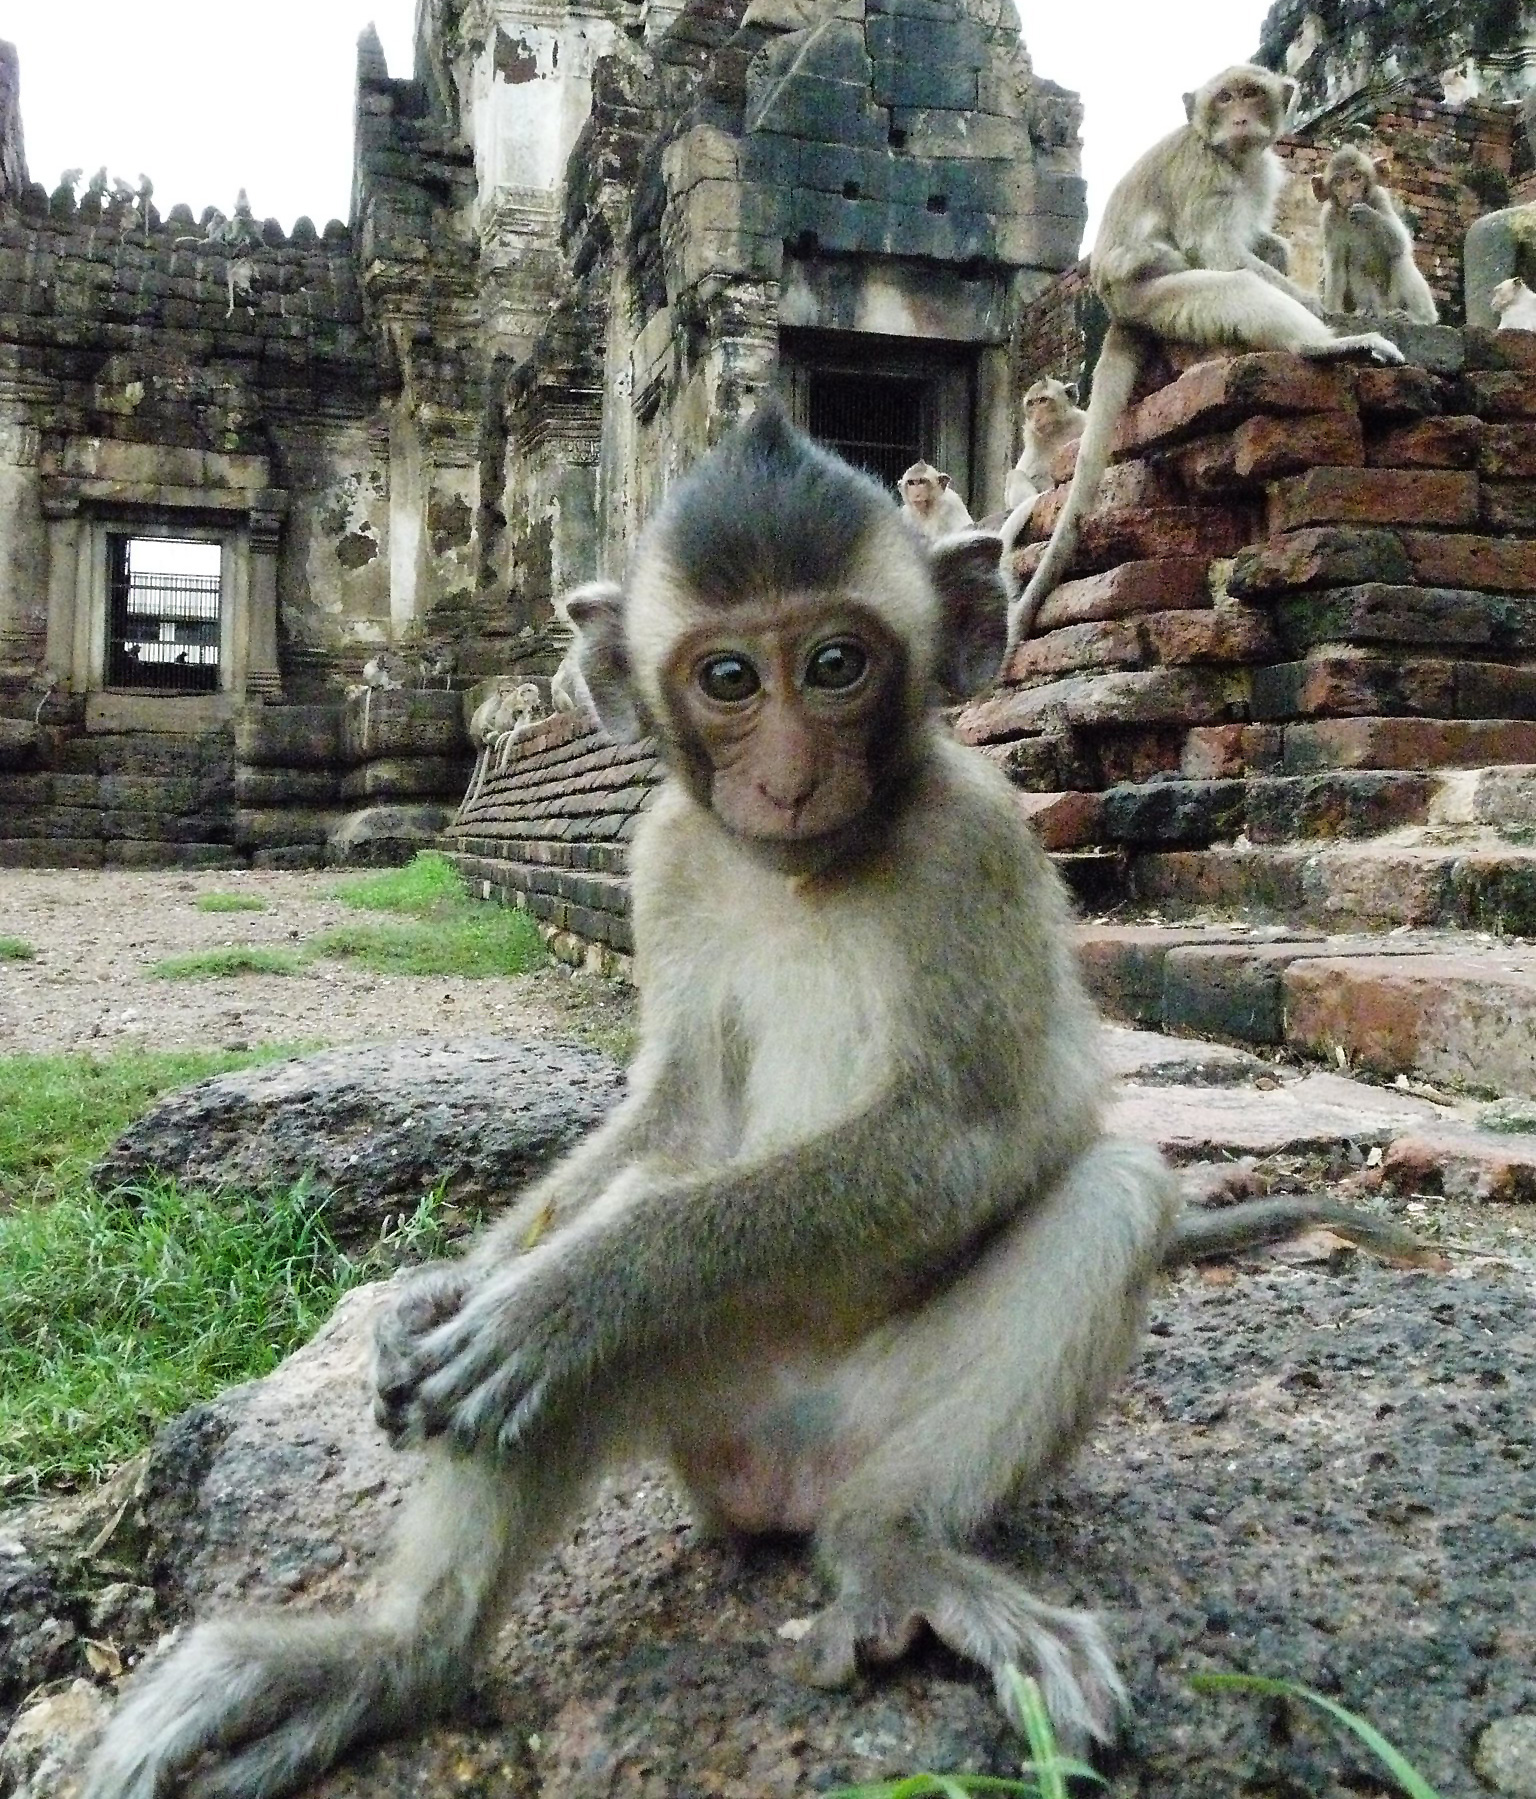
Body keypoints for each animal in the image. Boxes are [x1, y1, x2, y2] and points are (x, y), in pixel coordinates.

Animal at [79, 402, 1424, 1799]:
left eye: (835, 664)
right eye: (729, 680)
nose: (783, 772)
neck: (804, 870)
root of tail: (778, 1476)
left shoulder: (975, 843)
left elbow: (966, 1136)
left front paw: (573, 1285)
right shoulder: (667, 852)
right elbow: (672, 1112)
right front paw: (444, 1294)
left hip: (876, 1422)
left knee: (1111, 1192)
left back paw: (895, 1546)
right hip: (695, 1396)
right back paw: (386, 1660)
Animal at [1009, 64, 1404, 647]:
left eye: (1251, 95)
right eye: (1225, 98)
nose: (1240, 118)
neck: (1230, 156)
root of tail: (1117, 309)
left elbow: (1261, 239)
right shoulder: (1204, 173)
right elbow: (1217, 251)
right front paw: (1319, 308)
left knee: (1266, 250)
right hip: (1160, 298)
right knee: (1232, 284)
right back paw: (1322, 344)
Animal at [1312, 146, 1438, 325]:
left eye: (1355, 178)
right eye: (1339, 182)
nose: (1349, 195)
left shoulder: (1380, 197)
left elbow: (1401, 243)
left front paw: (1367, 215)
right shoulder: (1328, 219)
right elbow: (1336, 266)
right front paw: (1334, 311)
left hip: (1391, 302)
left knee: (1399, 257)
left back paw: (1421, 318)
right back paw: (1365, 311)